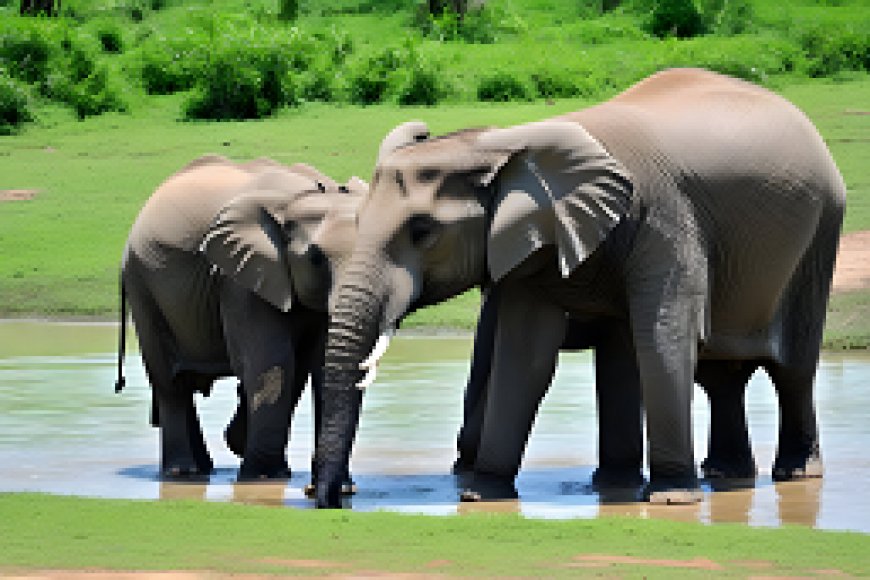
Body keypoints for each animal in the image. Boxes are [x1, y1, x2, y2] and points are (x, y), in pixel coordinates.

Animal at [115, 155, 364, 480]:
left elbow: (321, 365)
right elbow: (272, 361)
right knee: (170, 382)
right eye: (315, 258)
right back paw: (184, 472)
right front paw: (265, 477)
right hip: (143, 283)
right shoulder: (239, 278)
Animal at [311, 68, 846, 508]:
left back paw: (794, 473)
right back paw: (721, 475)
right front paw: (483, 494)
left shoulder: (664, 222)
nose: (330, 498)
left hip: (822, 232)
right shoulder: (533, 247)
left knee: (793, 369)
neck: (507, 144)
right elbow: (524, 357)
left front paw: (670, 499)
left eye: (422, 231)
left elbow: (663, 340)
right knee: (720, 377)